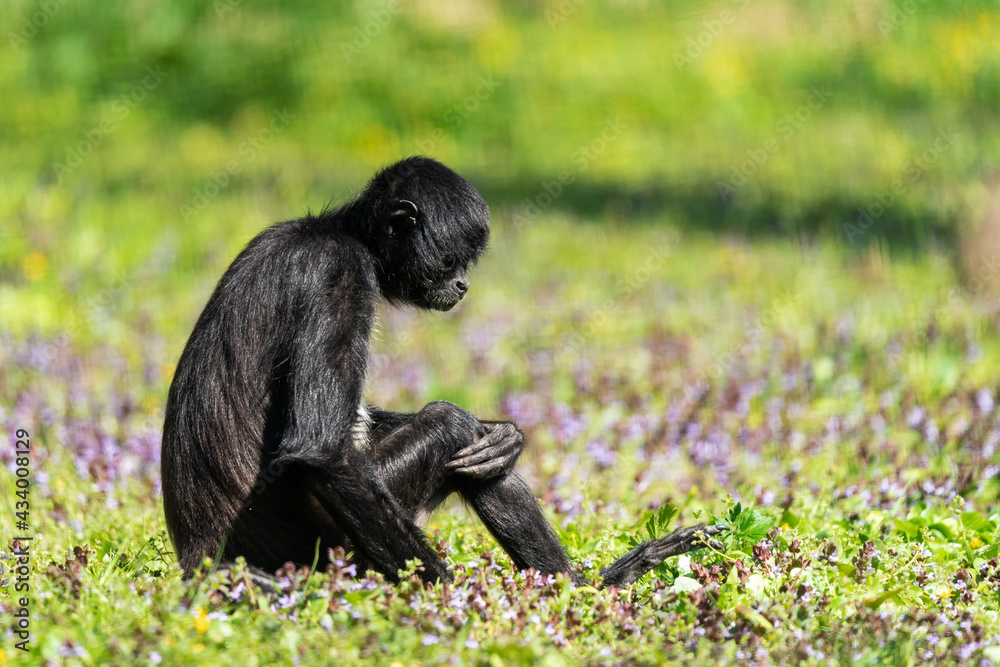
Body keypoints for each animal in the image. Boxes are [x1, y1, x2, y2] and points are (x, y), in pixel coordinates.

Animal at [161, 156, 723, 589]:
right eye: (454, 259)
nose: (463, 285)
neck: (340, 231)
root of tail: (199, 556)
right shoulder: (337, 271)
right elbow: (322, 452)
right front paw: (450, 601)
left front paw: (505, 433)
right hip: (318, 546)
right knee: (449, 423)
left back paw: (589, 590)